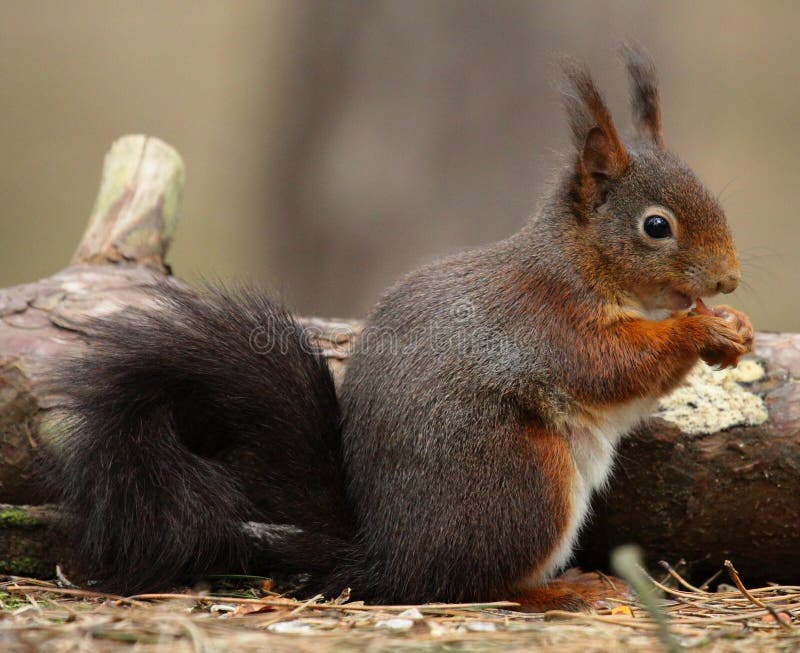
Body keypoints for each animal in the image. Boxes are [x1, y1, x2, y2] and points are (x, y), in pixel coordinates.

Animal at [49, 46, 754, 611]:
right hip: (522, 479)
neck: (584, 265)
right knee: (475, 585)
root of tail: (387, 556)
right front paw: (701, 332)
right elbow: (611, 366)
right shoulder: (548, 321)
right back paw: (560, 590)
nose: (729, 279)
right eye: (656, 226)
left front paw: (736, 328)